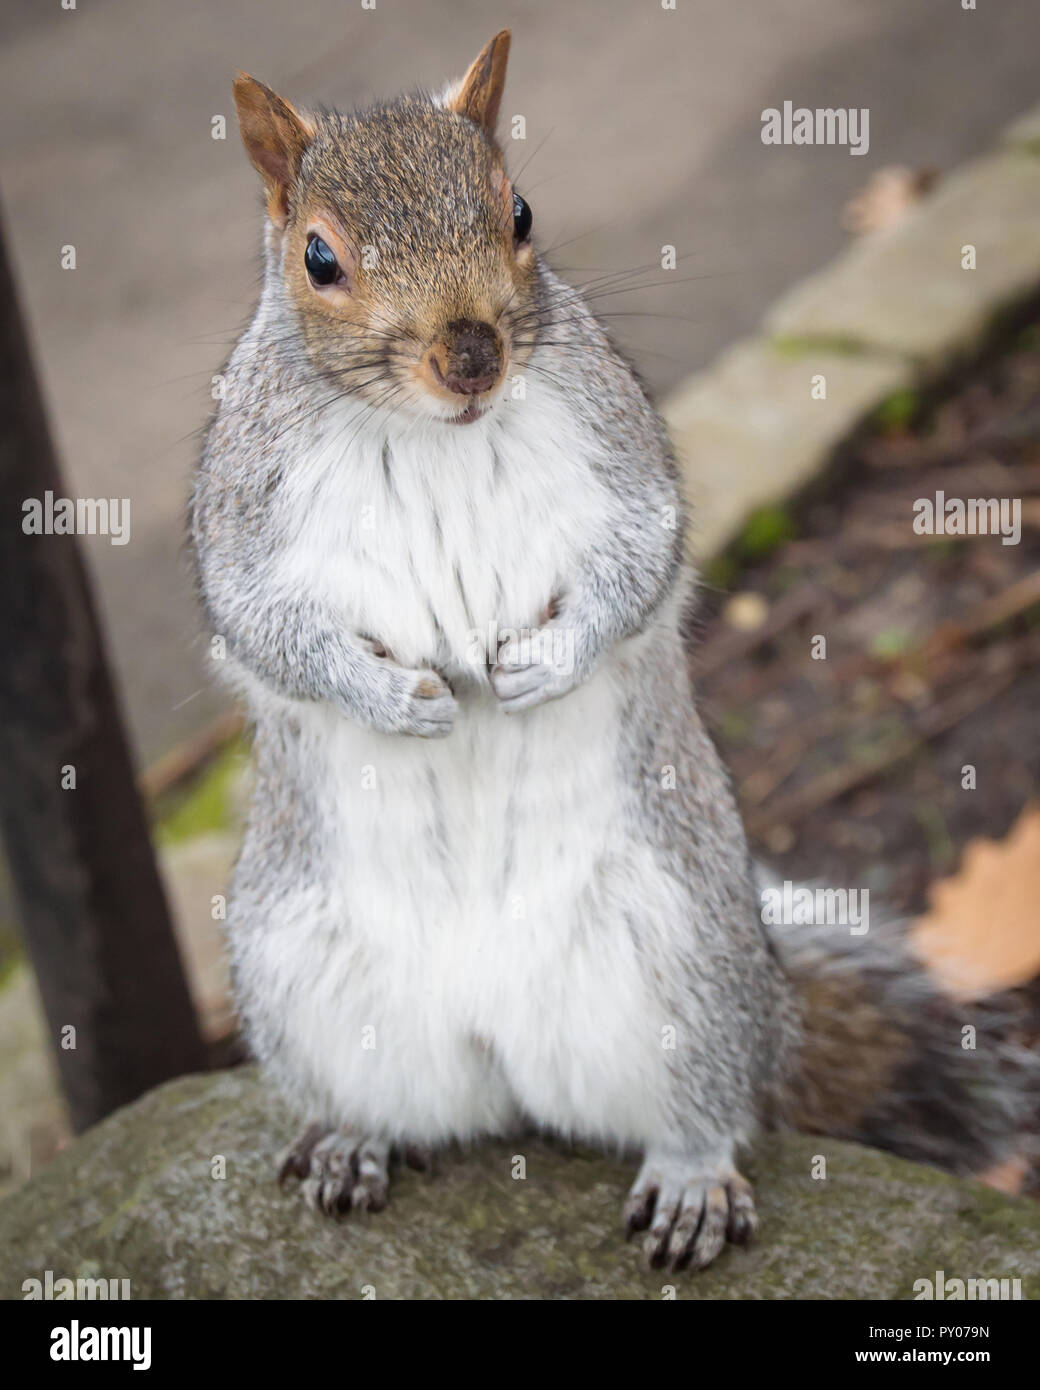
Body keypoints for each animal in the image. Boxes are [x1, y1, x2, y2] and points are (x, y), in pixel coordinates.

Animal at [191, 31, 1037, 1272]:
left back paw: (690, 1179)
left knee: (706, 1102)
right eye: (317, 259)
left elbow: (639, 561)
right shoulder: (245, 513)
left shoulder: (621, 457)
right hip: (302, 973)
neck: (432, 435)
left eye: (520, 213)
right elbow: (264, 622)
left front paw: (542, 665)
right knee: (384, 1098)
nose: (471, 354)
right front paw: (393, 695)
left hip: (680, 958)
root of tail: (494, 1046)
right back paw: (351, 1138)